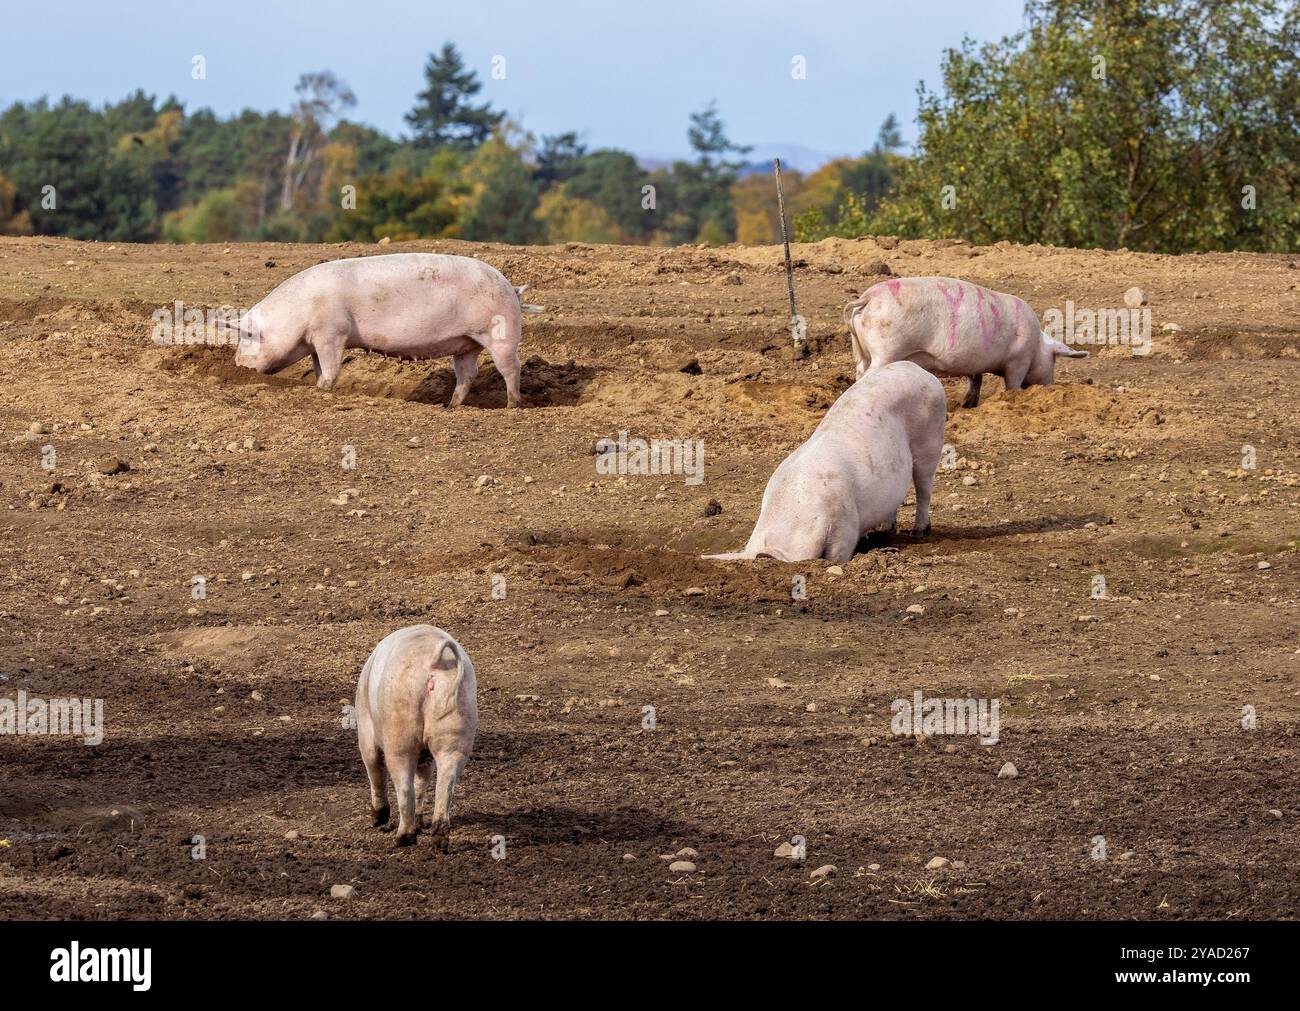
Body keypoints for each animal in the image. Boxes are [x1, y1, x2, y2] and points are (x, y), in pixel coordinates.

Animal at [225, 253, 542, 408]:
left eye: (248, 336)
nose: (236, 365)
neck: (298, 311)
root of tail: (512, 289)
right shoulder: (316, 339)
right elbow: (318, 368)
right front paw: (318, 387)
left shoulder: (332, 333)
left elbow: (331, 369)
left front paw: (325, 390)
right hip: (466, 344)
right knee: (467, 374)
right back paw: (451, 407)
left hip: (501, 334)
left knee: (511, 367)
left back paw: (513, 406)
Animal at [354, 625, 478, 849]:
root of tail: (434, 663)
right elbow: (423, 780)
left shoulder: (366, 731)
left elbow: (374, 770)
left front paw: (377, 820)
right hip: (458, 728)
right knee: (445, 780)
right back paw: (438, 839)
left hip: (399, 731)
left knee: (402, 783)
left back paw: (403, 838)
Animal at [704, 360, 946, 563]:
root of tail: (918, 369)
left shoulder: (844, 526)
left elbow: (837, 556)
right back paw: (886, 529)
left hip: (930, 441)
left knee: (924, 487)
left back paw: (918, 532)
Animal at [843, 276, 1088, 408]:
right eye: (1054, 360)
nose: (1049, 386)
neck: (1037, 345)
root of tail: (867, 298)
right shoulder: (1018, 360)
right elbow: (1012, 383)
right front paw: (1013, 397)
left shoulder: (974, 362)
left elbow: (976, 379)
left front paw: (969, 405)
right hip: (887, 349)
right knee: (868, 375)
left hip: (863, 352)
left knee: (859, 371)